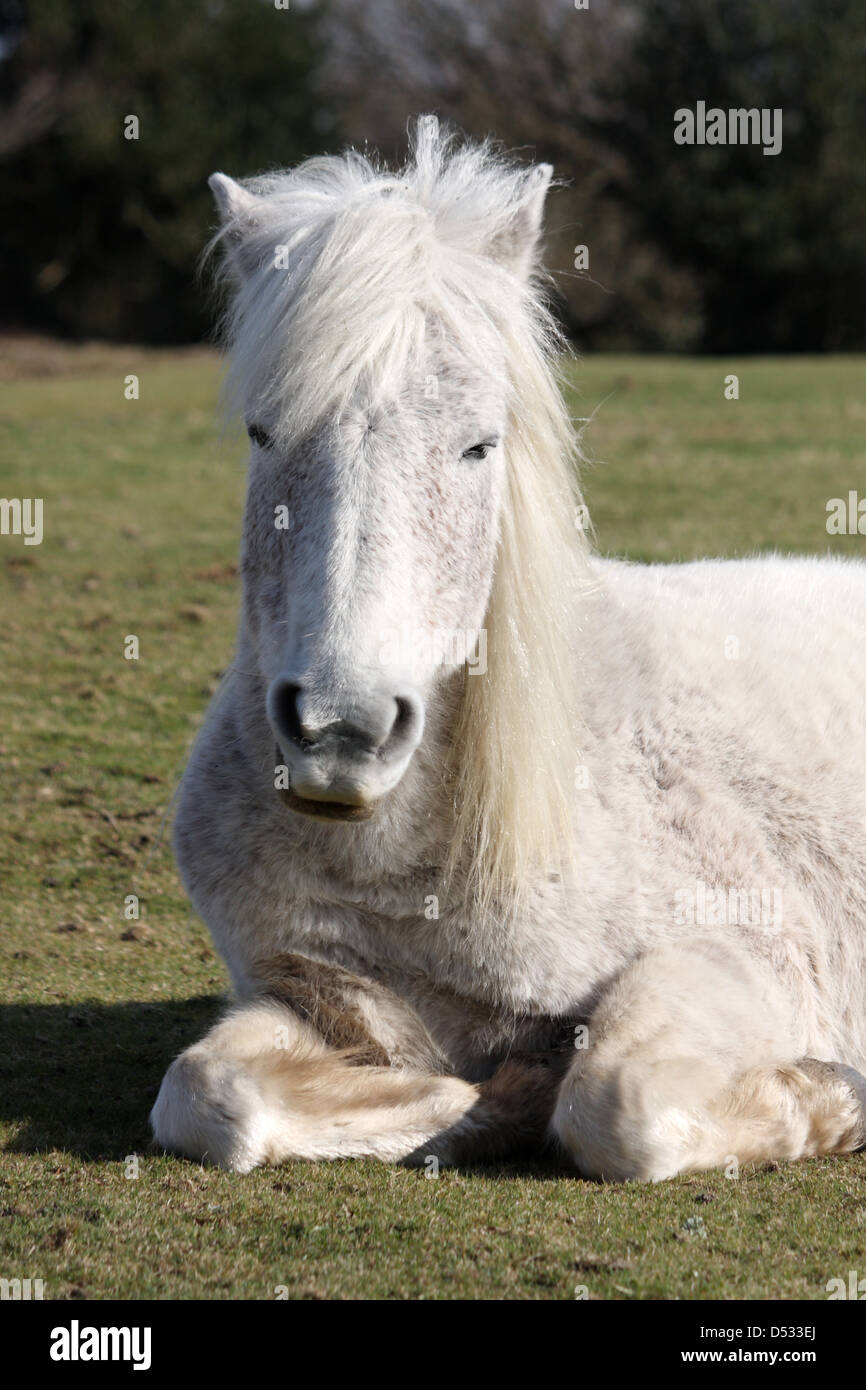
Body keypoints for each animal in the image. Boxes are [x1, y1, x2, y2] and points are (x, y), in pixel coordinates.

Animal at [151, 116, 866, 1181]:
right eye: (263, 432)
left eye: (479, 446)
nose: (341, 731)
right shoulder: (316, 996)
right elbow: (208, 1093)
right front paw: (485, 1103)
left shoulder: (753, 960)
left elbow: (617, 1100)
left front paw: (831, 1103)